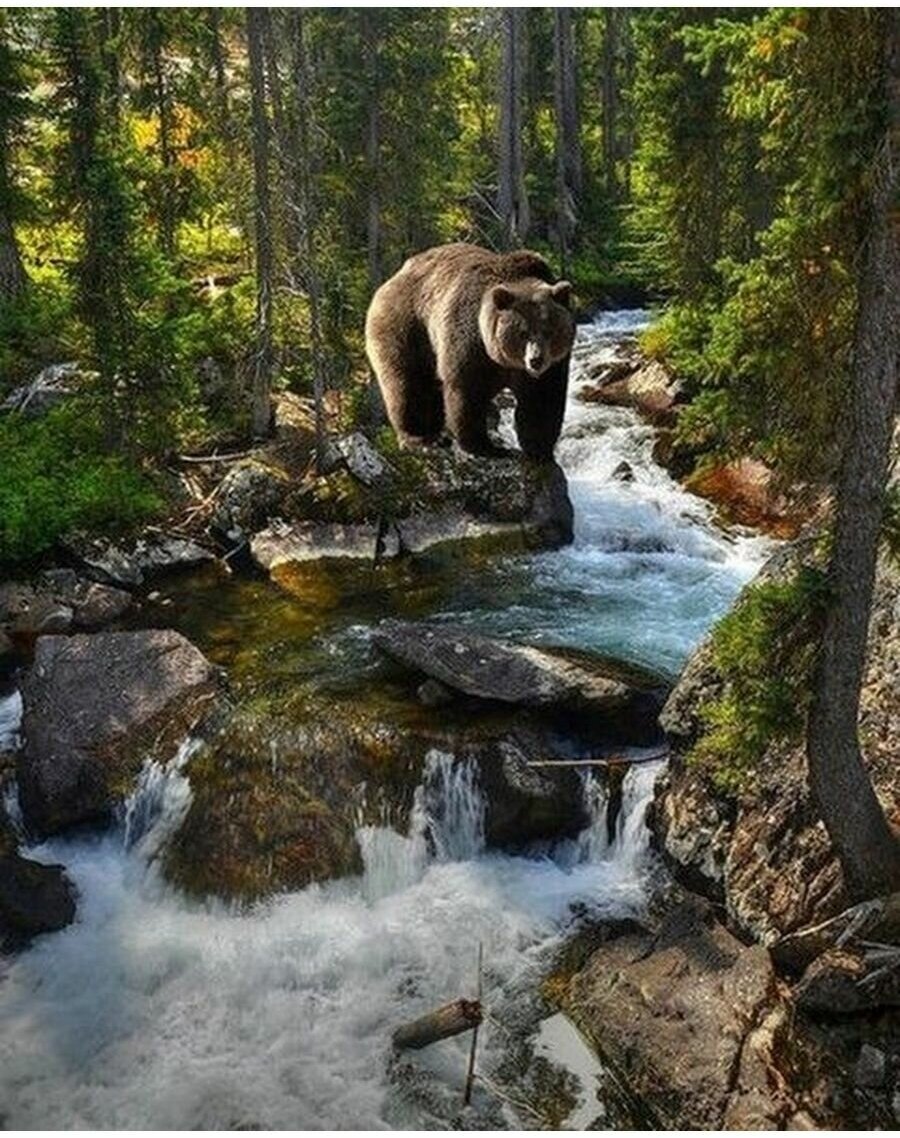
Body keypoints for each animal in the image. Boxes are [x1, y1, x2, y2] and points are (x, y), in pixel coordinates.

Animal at [365, 243, 575, 460]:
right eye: (523, 332)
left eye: (549, 330)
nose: (536, 359)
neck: (503, 359)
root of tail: (394, 276)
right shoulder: (470, 344)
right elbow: (467, 393)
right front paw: (486, 447)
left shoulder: (552, 365)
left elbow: (541, 399)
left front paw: (540, 451)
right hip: (408, 327)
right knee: (408, 383)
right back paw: (421, 438)